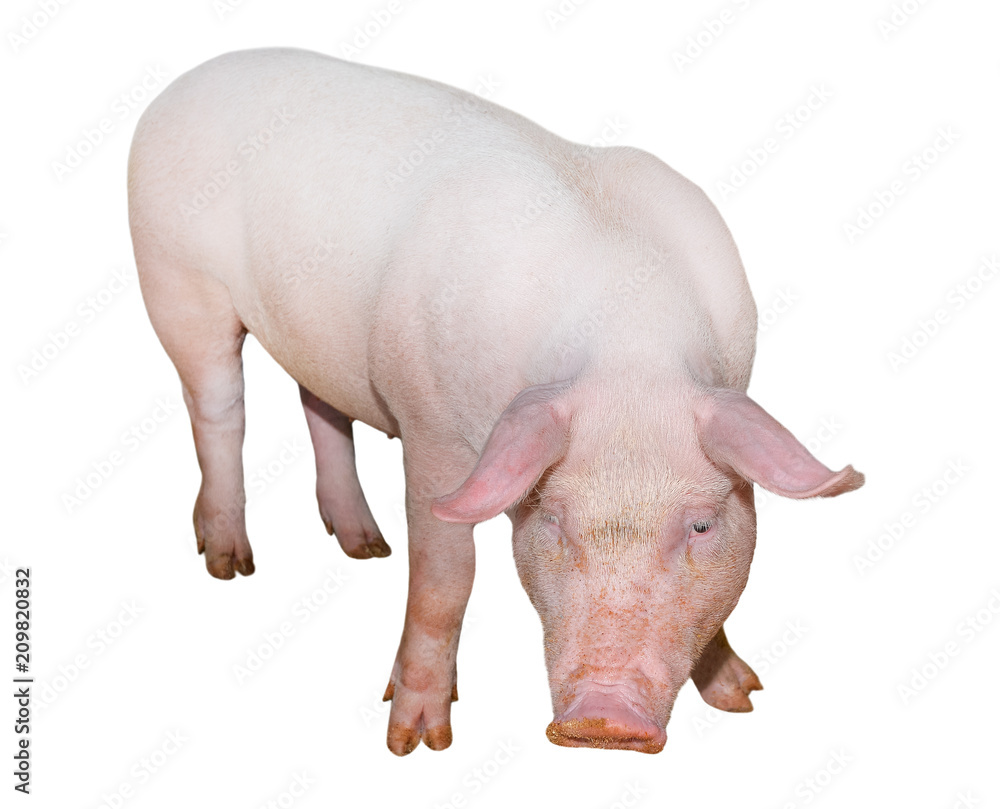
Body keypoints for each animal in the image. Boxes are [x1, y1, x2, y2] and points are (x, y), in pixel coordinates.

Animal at [127, 47, 864, 755]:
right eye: (552, 518)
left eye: (703, 526)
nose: (604, 720)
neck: (631, 357)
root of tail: (177, 87)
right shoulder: (430, 430)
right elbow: (445, 580)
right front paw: (416, 741)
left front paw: (745, 695)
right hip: (175, 280)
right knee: (218, 410)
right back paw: (231, 564)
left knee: (320, 406)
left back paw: (366, 547)